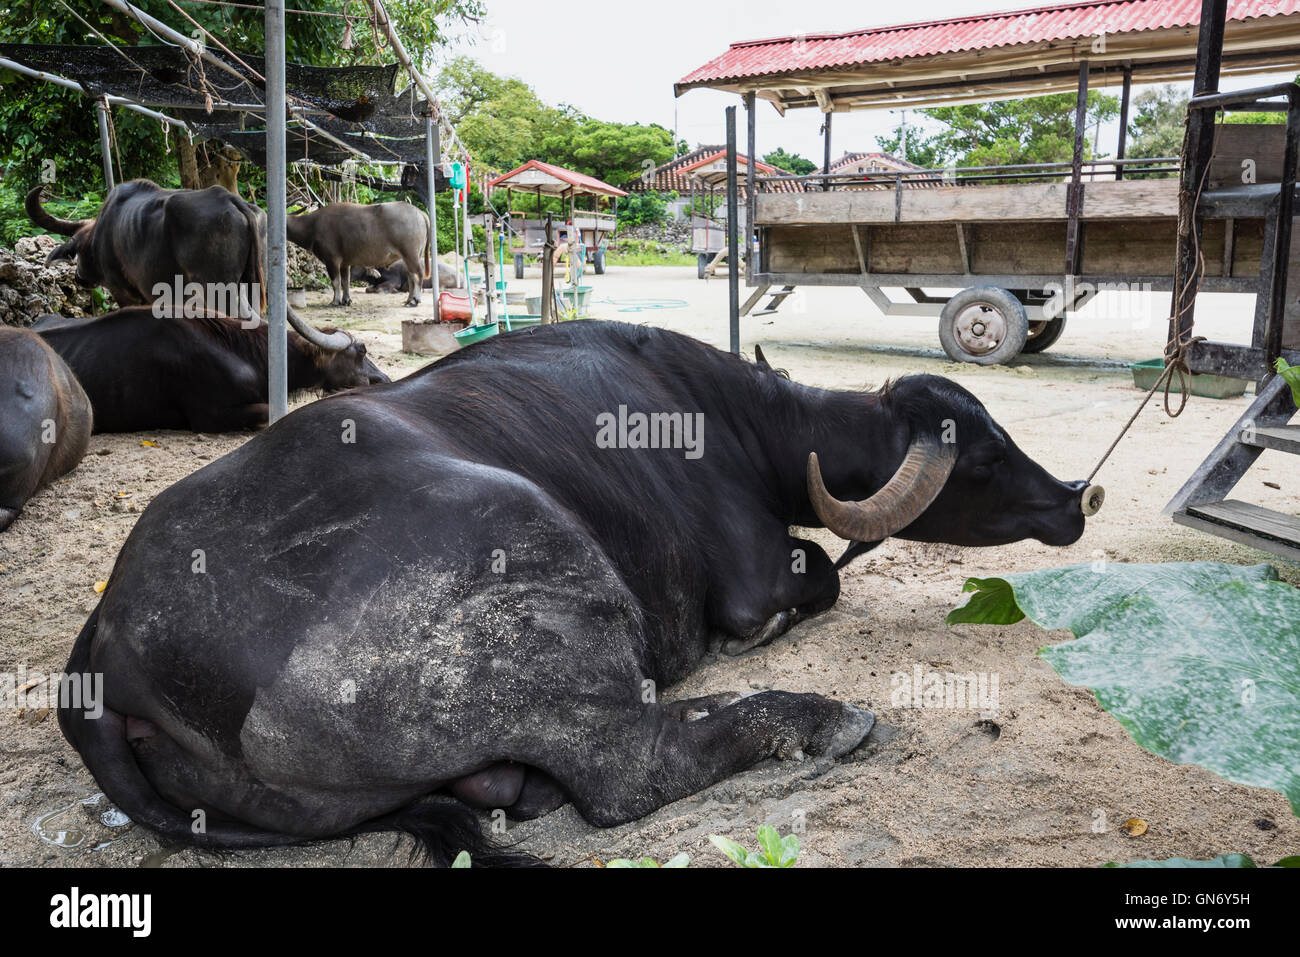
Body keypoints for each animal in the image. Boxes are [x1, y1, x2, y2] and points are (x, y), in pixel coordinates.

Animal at [59, 321, 1092, 865]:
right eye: (985, 458)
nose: (1074, 499)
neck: (739, 426)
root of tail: (106, 640)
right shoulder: (758, 574)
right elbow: (820, 578)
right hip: (533, 559)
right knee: (626, 765)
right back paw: (820, 715)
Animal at [287, 202, 431, 307]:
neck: (313, 225)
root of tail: (420, 213)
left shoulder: (332, 260)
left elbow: (336, 282)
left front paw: (335, 301)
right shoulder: (345, 263)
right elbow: (345, 281)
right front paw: (346, 301)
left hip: (410, 255)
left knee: (418, 275)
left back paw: (414, 301)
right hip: (411, 257)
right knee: (411, 276)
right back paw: (409, 300)